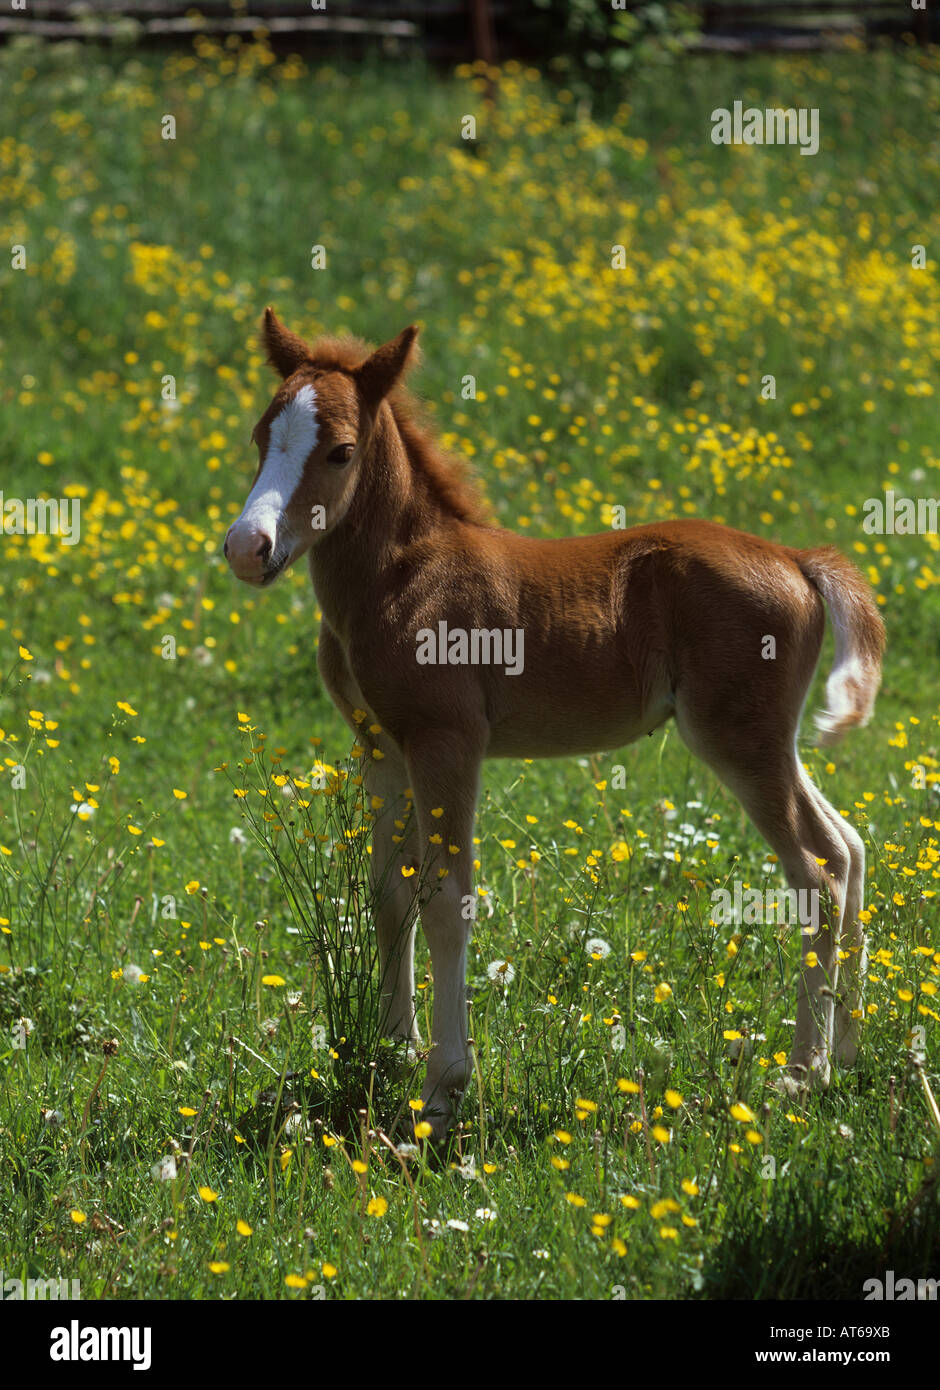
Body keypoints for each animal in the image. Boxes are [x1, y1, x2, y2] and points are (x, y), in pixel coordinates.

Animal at [224, 308, 885, 1140]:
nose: (247, 548)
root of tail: (798, 559)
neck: (403, 573)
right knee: (848, 845)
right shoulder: (381, 748)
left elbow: (446, 898)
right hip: (772, 739)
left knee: (817, 870)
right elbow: (388, 893)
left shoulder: (447, 741)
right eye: (260, 435)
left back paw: (803, 1071)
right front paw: (392, 1053)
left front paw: (443, 1091)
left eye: (340, 450)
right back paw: (849, 1051)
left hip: (739, 740)